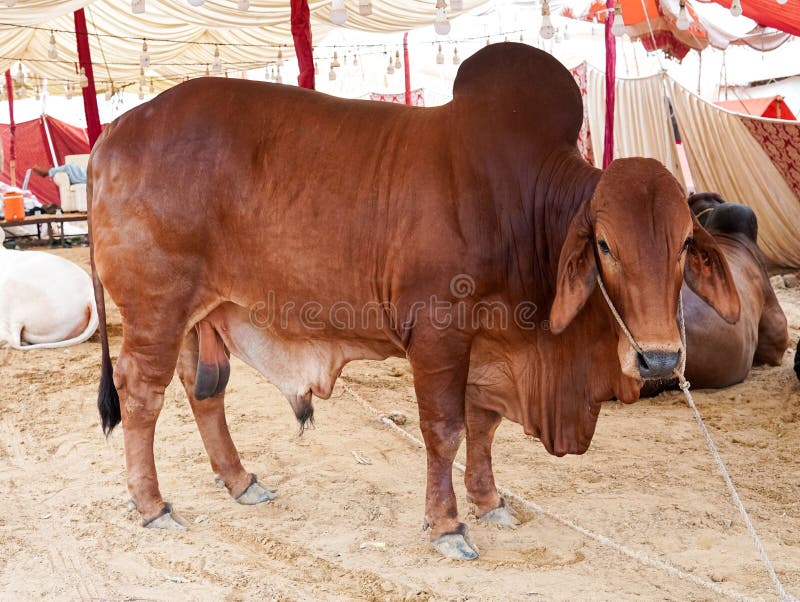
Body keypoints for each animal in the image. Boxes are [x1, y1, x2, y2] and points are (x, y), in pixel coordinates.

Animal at [89, 43, 739, 560]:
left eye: (685, 243)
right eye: (604, 245)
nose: (659, 359)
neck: (522, 206)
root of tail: (112, 136)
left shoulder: (488, 342)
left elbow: (484, 425)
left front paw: (489, 500)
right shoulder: (439, 333)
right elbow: (445, 430)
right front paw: (447, 525)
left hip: (199, 315)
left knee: (203, 390)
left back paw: (239, 479)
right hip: (155, 308)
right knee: (141, 394)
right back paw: (152, 505)